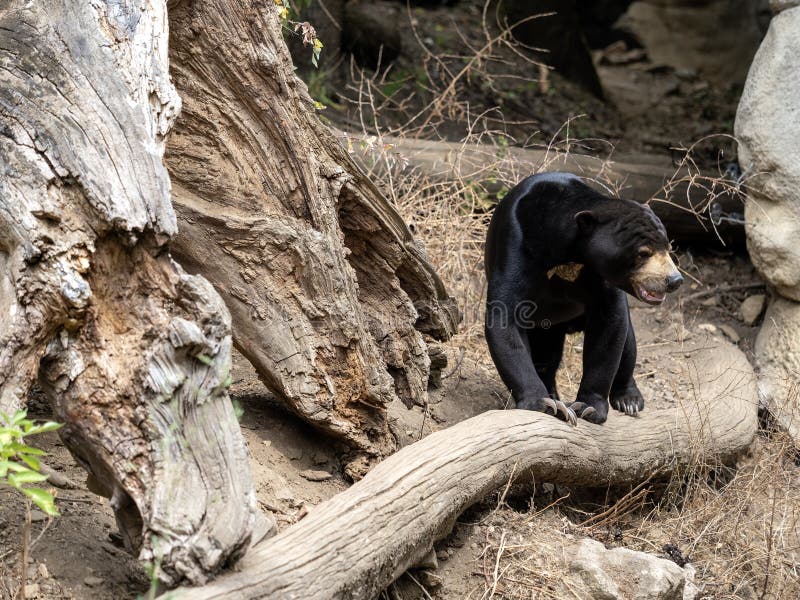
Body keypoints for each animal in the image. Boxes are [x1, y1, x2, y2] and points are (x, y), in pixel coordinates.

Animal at [484, 172, 683, 425]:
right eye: (643, 253)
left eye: (667, 247)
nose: (674, 280)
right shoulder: (515, 248)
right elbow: (504, 318)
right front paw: (545, 404)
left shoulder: (599, 277)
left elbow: (610, 328)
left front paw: (588, 408)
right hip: (546, 327)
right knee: (545, 357)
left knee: (628, 343)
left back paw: (628, 399)